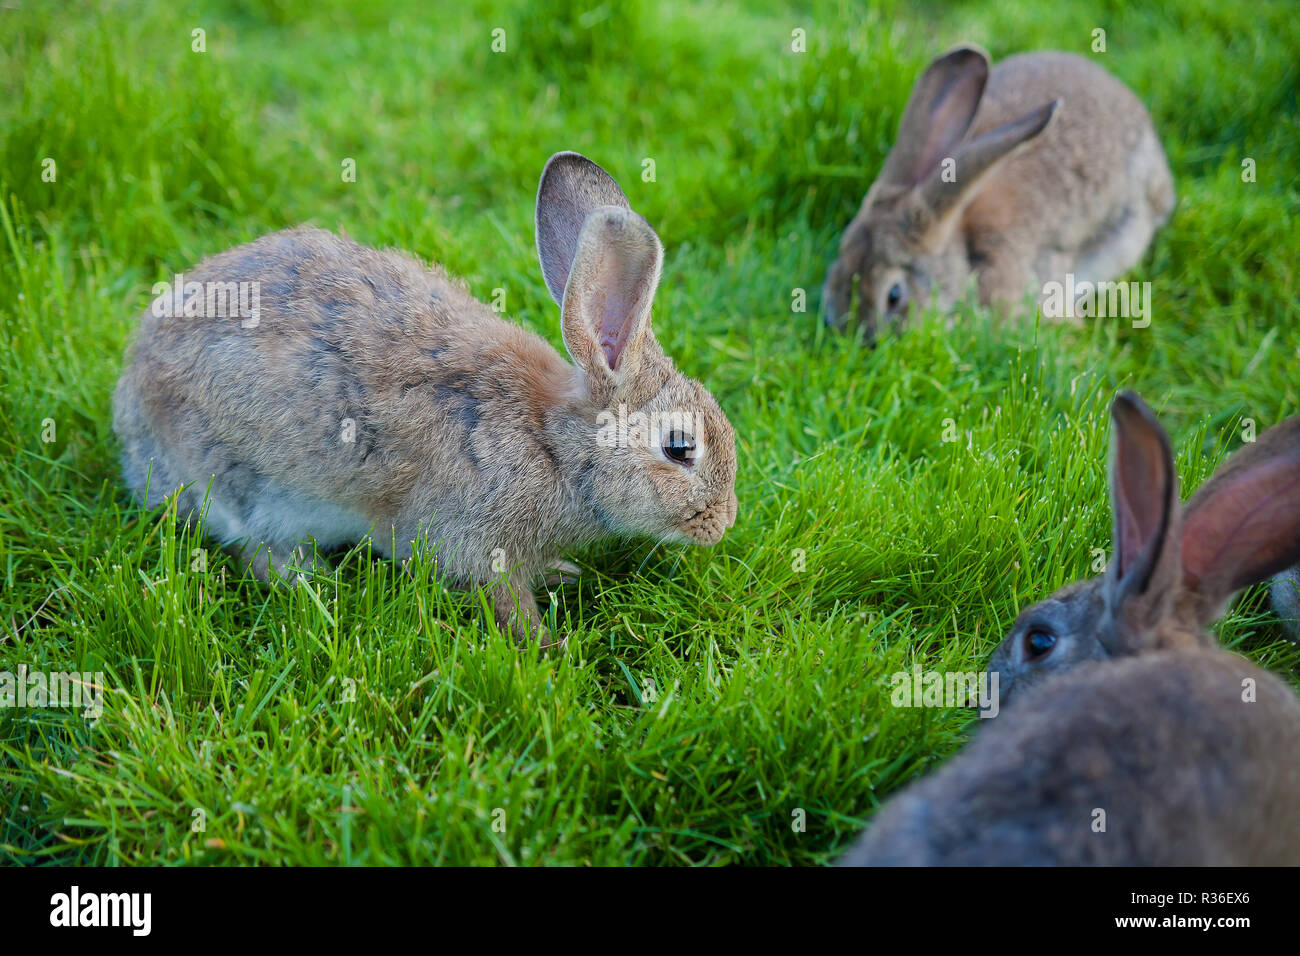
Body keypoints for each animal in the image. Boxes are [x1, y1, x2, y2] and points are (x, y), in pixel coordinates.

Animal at [112, 151, 739, 642]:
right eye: (679, 449)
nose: (723, 524)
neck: (555, 446)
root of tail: (131, 413)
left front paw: (561, 573)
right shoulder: (477, 540)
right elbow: (503, 600)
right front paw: (547, 648)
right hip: (243, 481)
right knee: (255, 550)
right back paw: (317, 584)